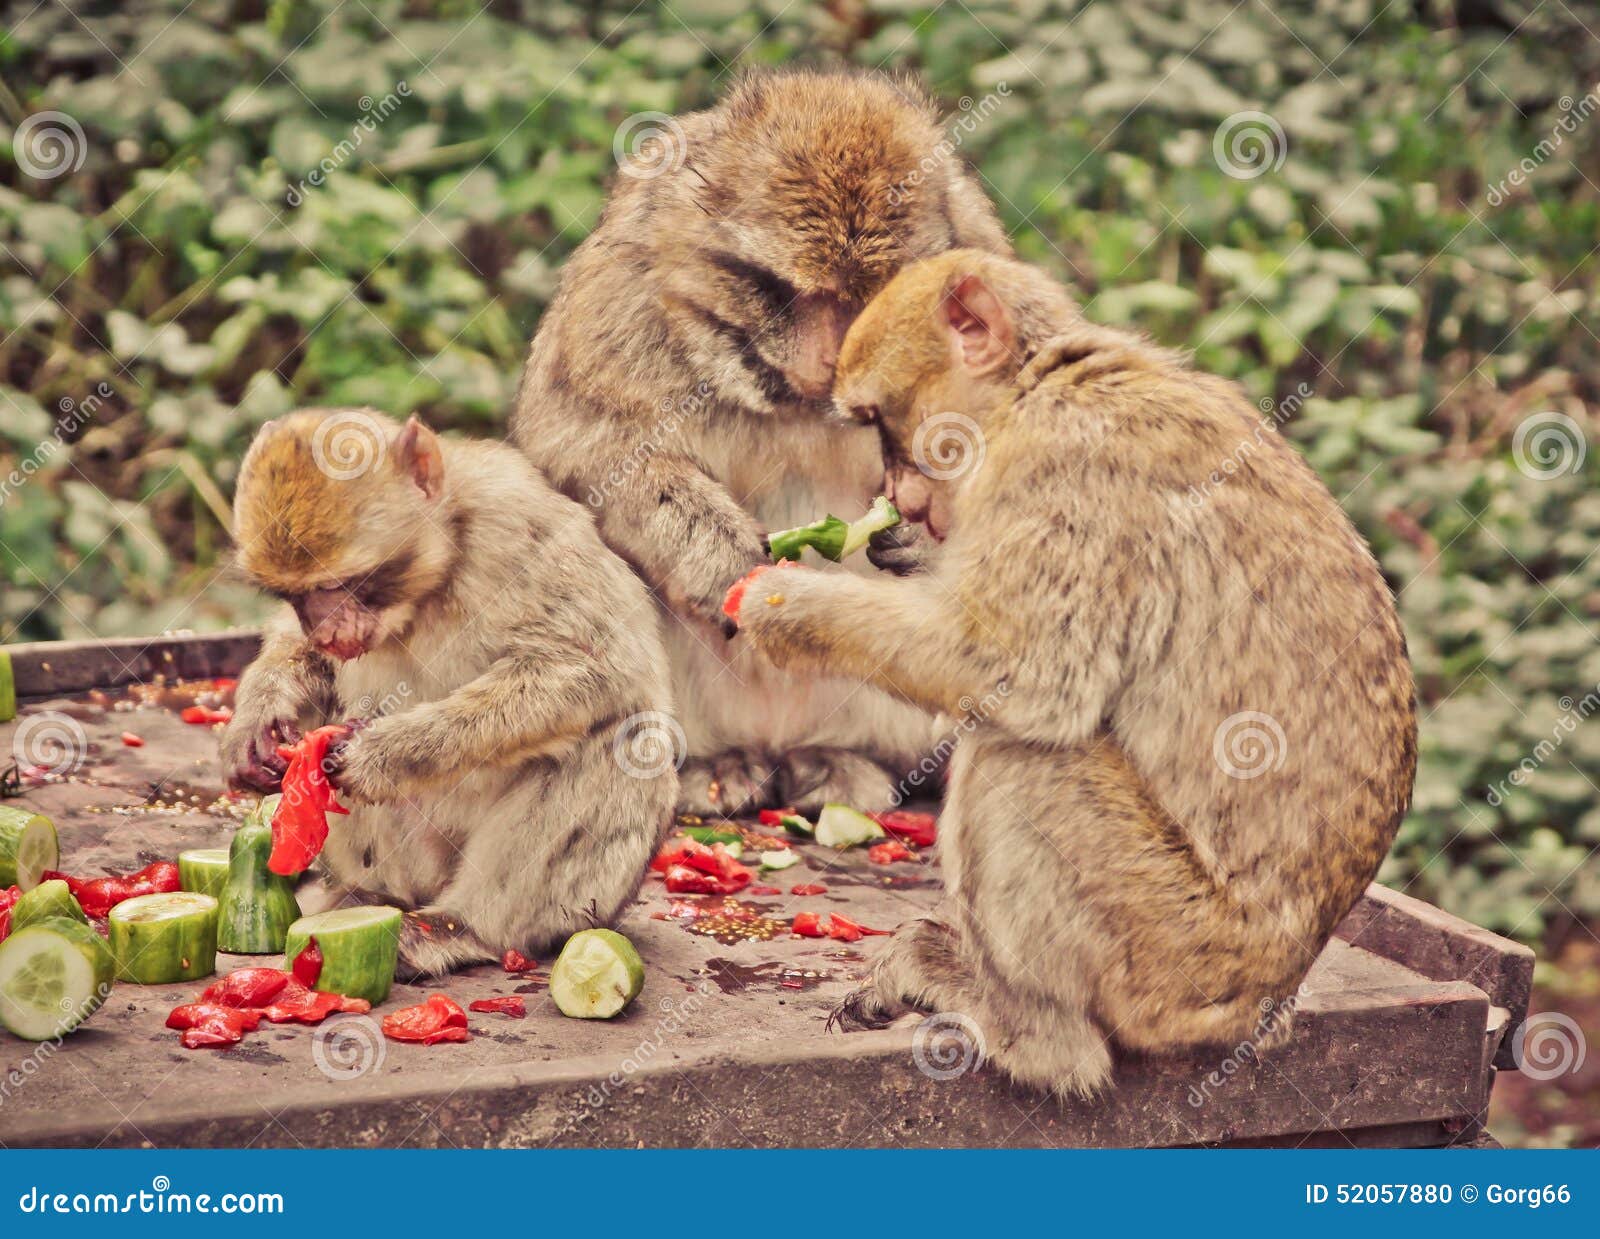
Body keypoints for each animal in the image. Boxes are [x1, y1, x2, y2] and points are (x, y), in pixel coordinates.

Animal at [220, 408, 676, 977]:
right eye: (298, 594)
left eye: (341, 583)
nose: (325, 628)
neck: (433, 582)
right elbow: (305, 656)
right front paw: (254, 722)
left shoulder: (518, 528)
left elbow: (595, 669)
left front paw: (379, 753)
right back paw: (366, 896)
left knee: (622, 737)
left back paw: (461, 927)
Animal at [508, 67, 1013, 817]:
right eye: (781, 289)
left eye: (872, 294)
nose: (833, 363)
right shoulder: (624, 290)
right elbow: (582, 446)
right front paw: (710, 550)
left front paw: (924, 535)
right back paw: (708, 766)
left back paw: (847, 760)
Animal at [726, 249, 1418, 1098]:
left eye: (884, 422)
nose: (894, 496)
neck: (1036, 385)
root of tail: (1271, 994)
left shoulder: (1065, 460)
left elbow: (1015, 668)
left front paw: (784, 603)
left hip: (1172, 957)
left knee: (1019, 757)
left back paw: (1031, 1035)